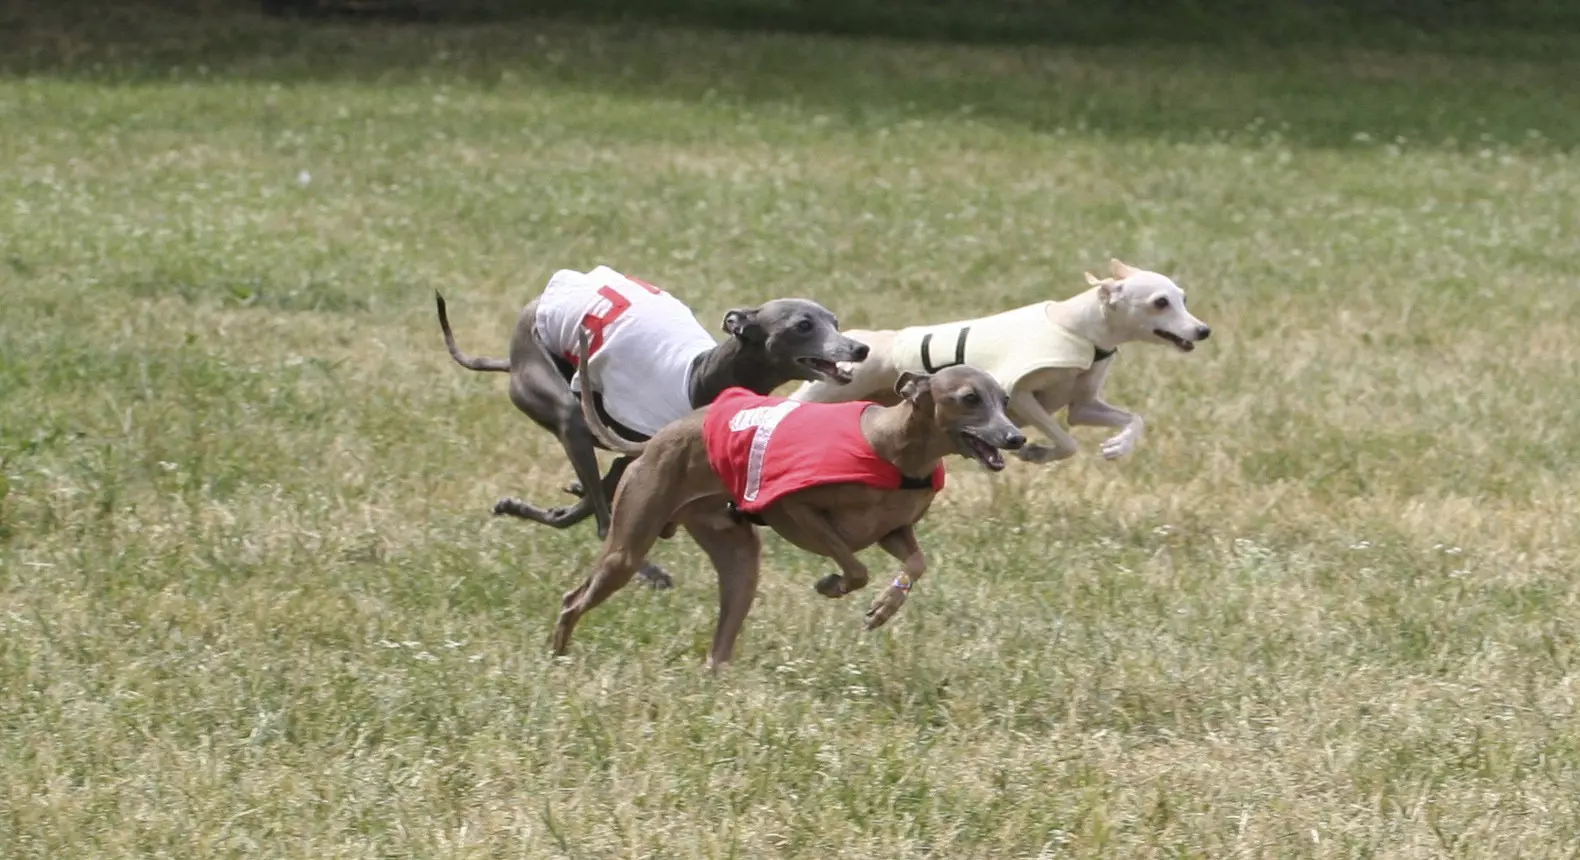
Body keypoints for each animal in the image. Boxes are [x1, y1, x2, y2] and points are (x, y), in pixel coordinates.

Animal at [556, 328, 1023, 663]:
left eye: (1004, 399)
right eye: (969, 398)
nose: (1015, 437)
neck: (892, 447)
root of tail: (652, 442)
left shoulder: (894, 530)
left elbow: (916, 563)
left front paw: (883, 608)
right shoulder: (793, 509)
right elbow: (856, 568)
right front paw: (834, 585)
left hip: (739, 559)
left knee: (719, 645)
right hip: (627, 548)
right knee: (571, 600)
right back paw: (559, 657)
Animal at [790, 259, 1207, 464]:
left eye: (1183, 297)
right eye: (1160, 302)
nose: (1203, 330)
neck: (1080, 329)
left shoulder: (1083, 405)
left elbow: (1132, 419)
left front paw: (1118, 446)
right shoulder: (1019, 395)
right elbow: (1067, 442)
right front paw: (1037, 452)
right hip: (820, 395)